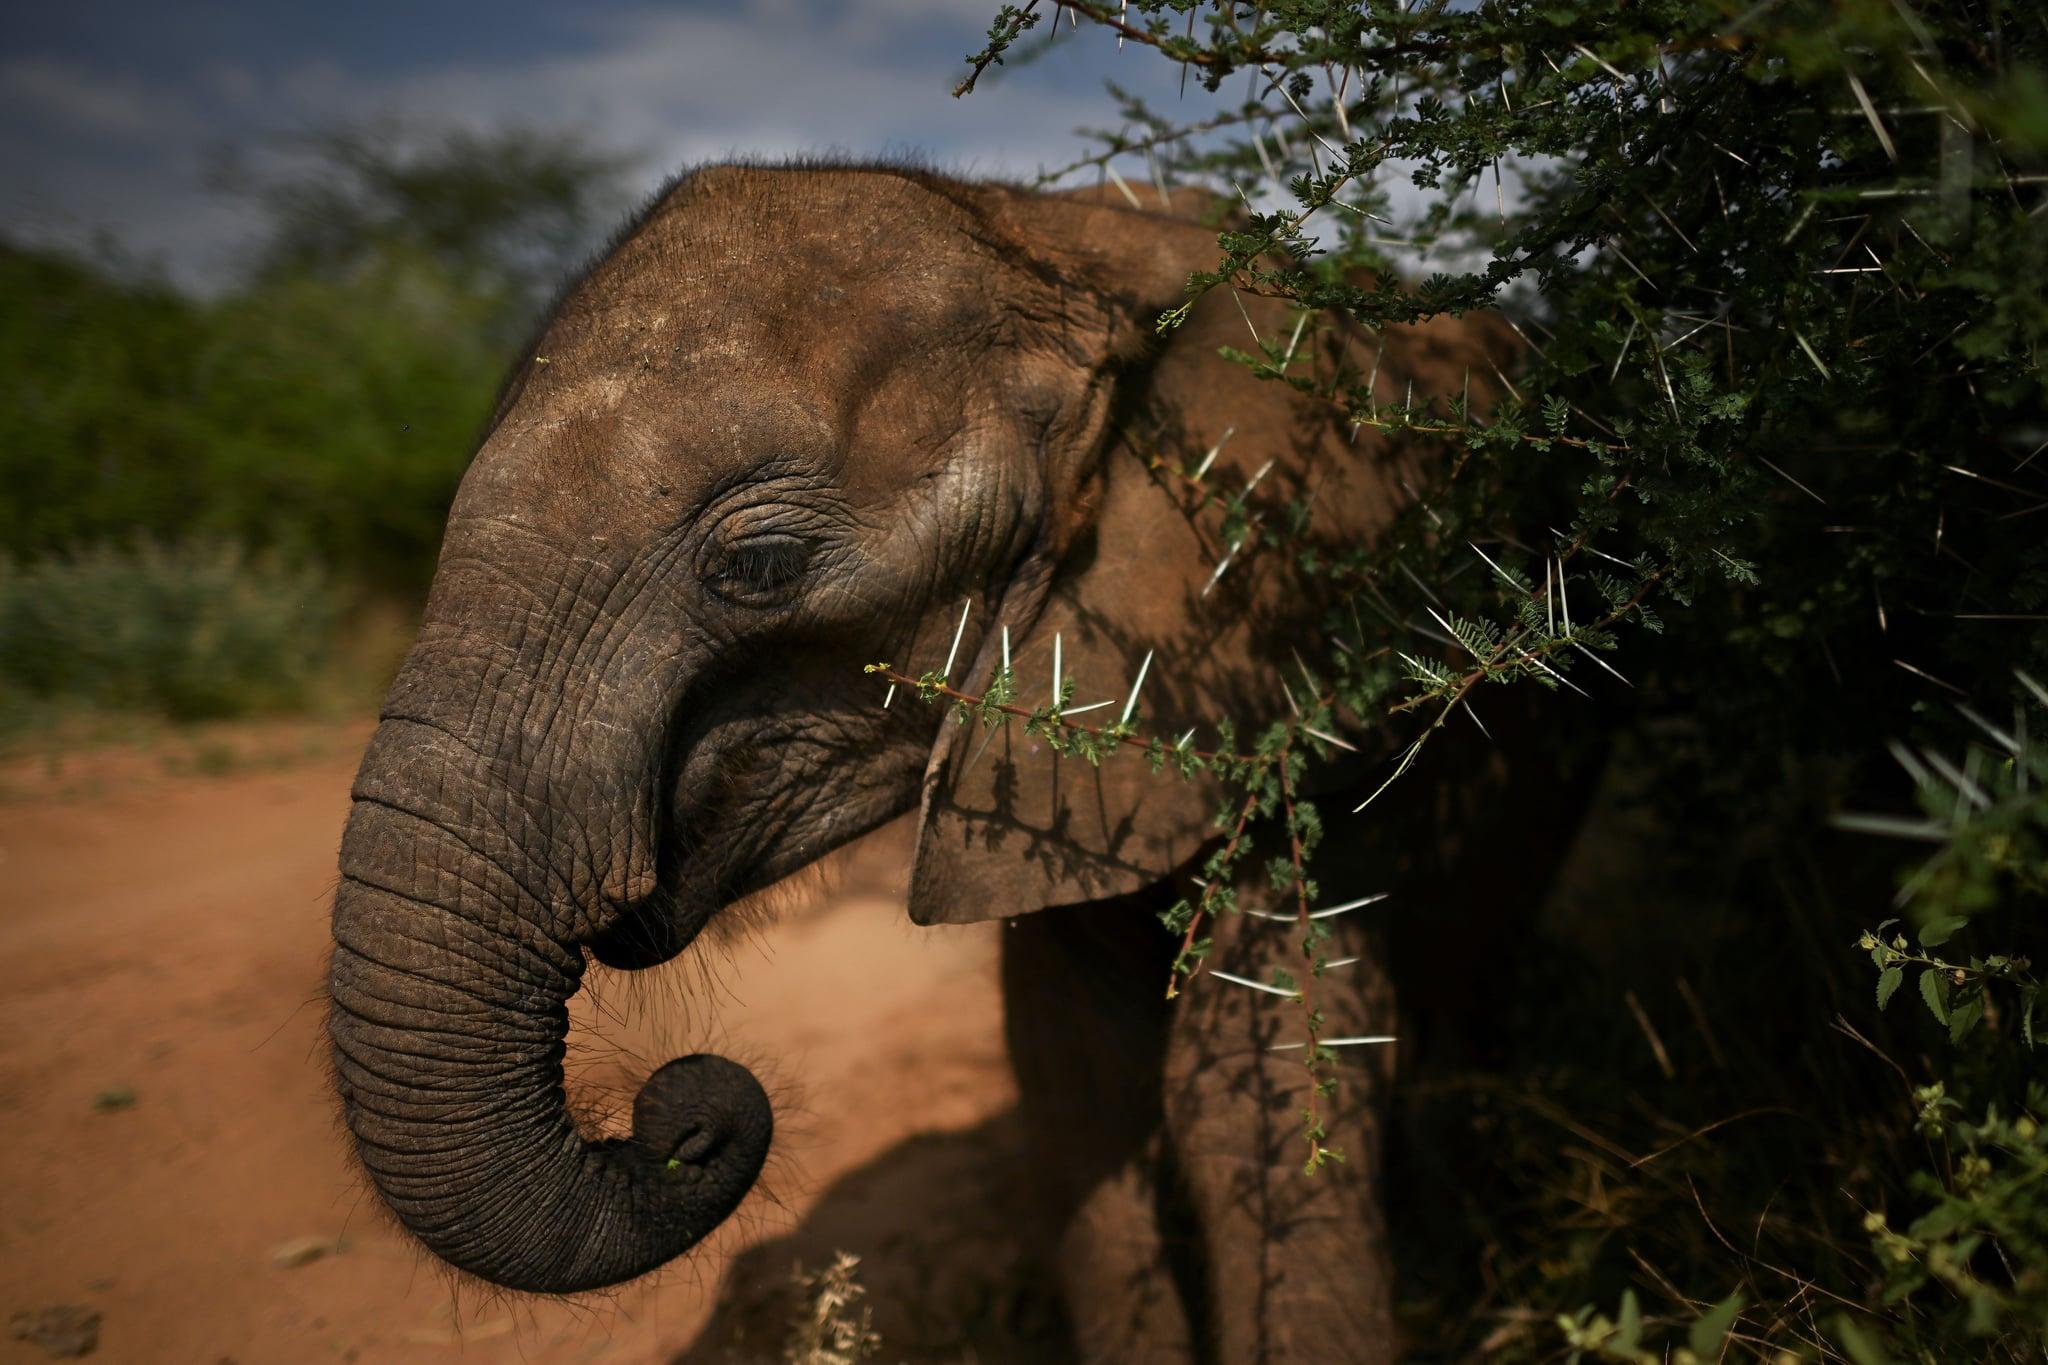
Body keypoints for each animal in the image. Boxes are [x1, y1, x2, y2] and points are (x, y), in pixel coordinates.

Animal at [327, 163, 1579, 1363]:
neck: (1050, 243)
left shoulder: (1290, 669)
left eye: (763, 565)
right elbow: (1074, 1078)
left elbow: (1253, 1091)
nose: (682, 1117)